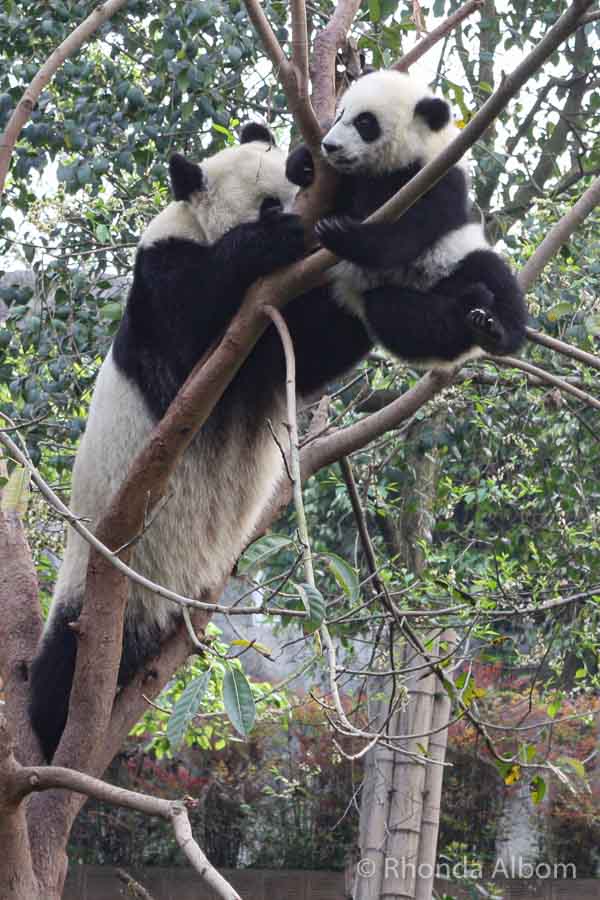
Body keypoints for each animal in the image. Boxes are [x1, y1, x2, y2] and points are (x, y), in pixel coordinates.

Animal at [29, 123, 374, 762]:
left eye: (298, 176)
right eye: (268, 203)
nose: (304, 205)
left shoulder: (273, 339)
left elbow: (321, 344)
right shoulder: (162, 281)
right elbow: (191, 315)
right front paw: (272, 240)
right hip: (94, 584)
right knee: (57, 673)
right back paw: (53, 733)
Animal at [286, 69, 527, 367]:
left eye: (364, 122)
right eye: (340, 114)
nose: (330, 146)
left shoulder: (437, 180)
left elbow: (408, 236)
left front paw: (340, 233)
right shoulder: (350, 182)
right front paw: (303, 165)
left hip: (454, 258)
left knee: (495, 278)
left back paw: (491, 328)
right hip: (370, 296)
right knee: (403, 319)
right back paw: (467, 306)